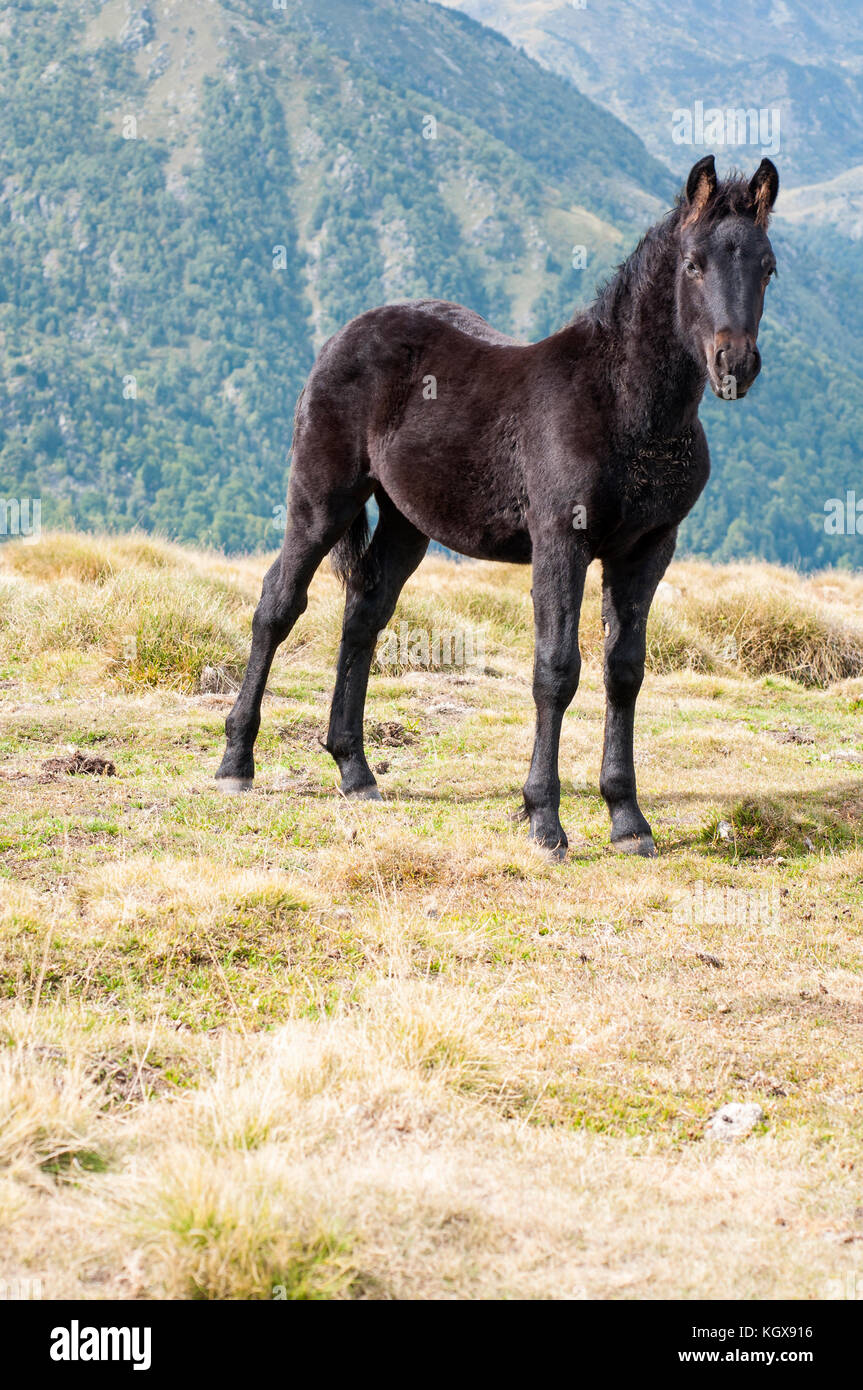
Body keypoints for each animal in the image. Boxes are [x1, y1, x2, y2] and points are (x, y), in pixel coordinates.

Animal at [216, 154, 779, 859]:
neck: (624, 407)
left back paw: (355, 770)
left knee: (363, 614)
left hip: (406, 523)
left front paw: (628, 820)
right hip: (322, 501)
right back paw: (236, 763)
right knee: (278, 606)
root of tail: (345, 334)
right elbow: (556, 670)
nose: (735, 364)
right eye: (694, 264)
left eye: (768, 266)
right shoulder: (561, 541)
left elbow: (624, 672)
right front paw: (544, 820)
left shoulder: (648, 549)